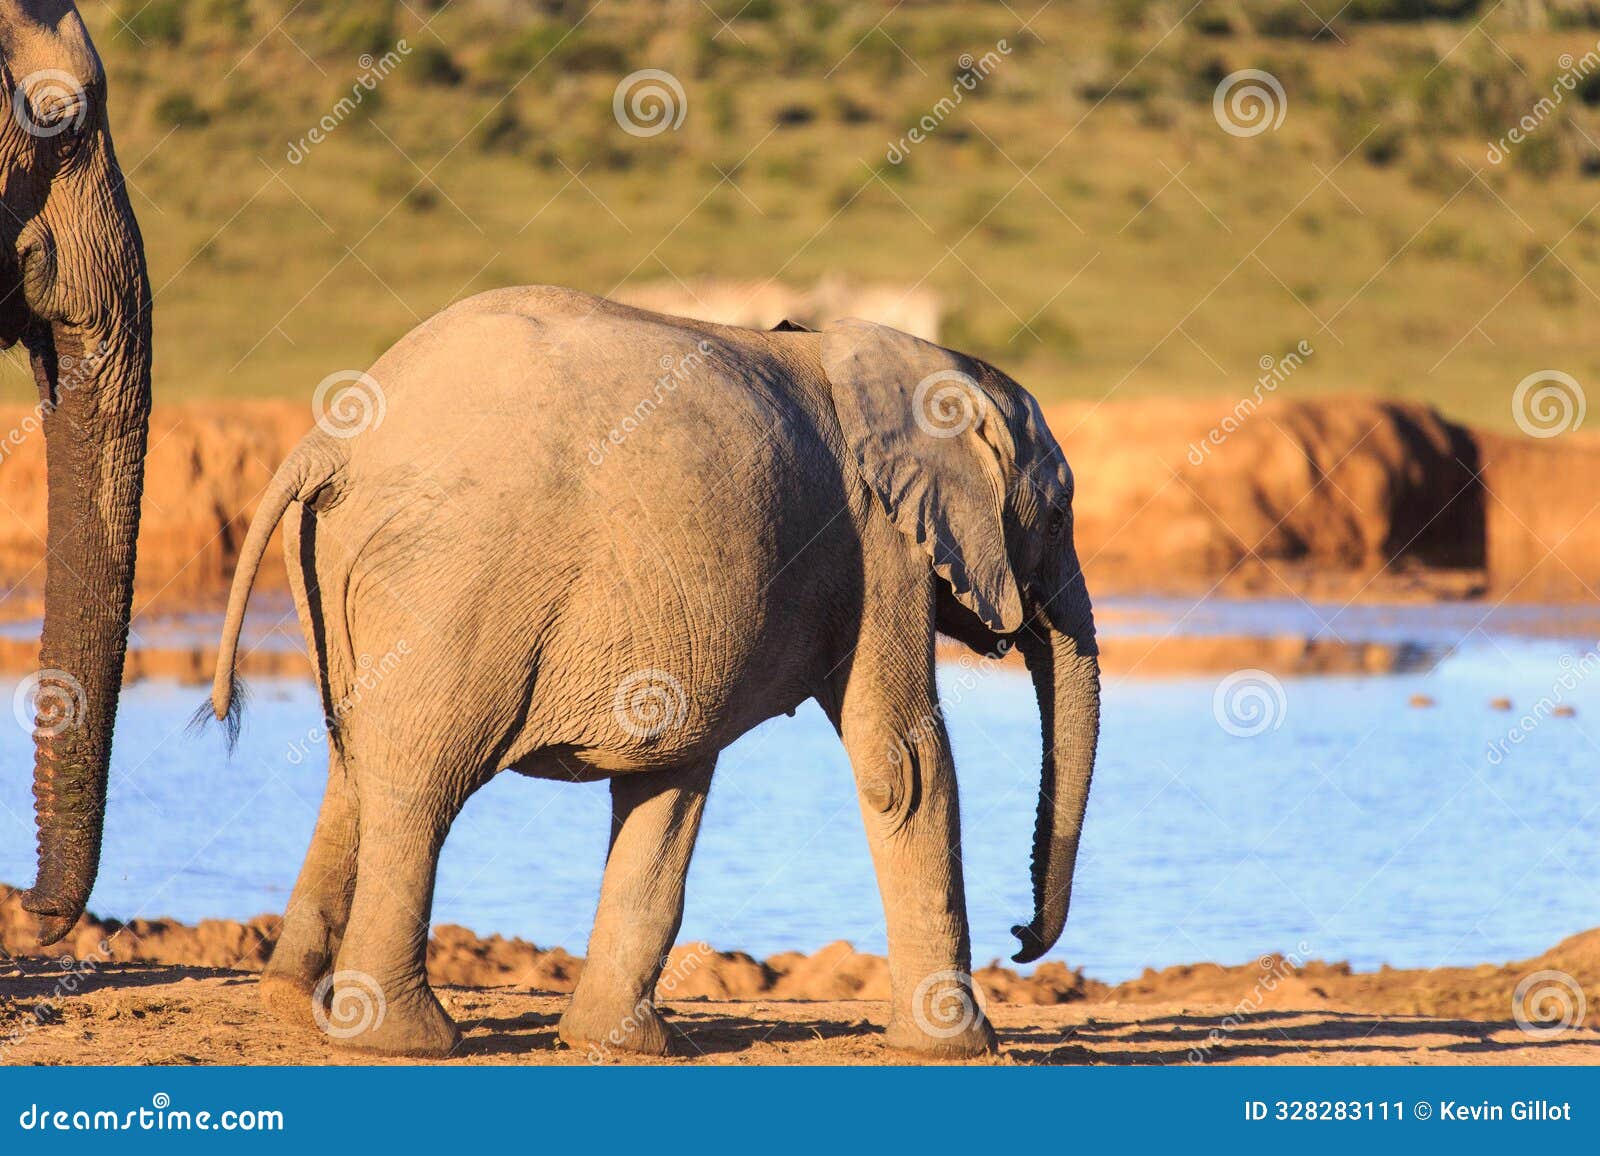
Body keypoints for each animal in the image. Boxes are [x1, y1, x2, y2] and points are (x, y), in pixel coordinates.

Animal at [206, 286, 1100, 1059]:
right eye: (1060, 513)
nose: (1023, 940)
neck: (907, 359)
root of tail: (332, 442)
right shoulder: (883, 544)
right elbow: (903, 765)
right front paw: (960, 1050)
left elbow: (669, 780)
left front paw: (619, 1044)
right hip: (450, 580)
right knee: (418, 783)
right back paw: (405, 1040)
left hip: (336, 571)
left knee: (351, 763)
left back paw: (295, 1009)